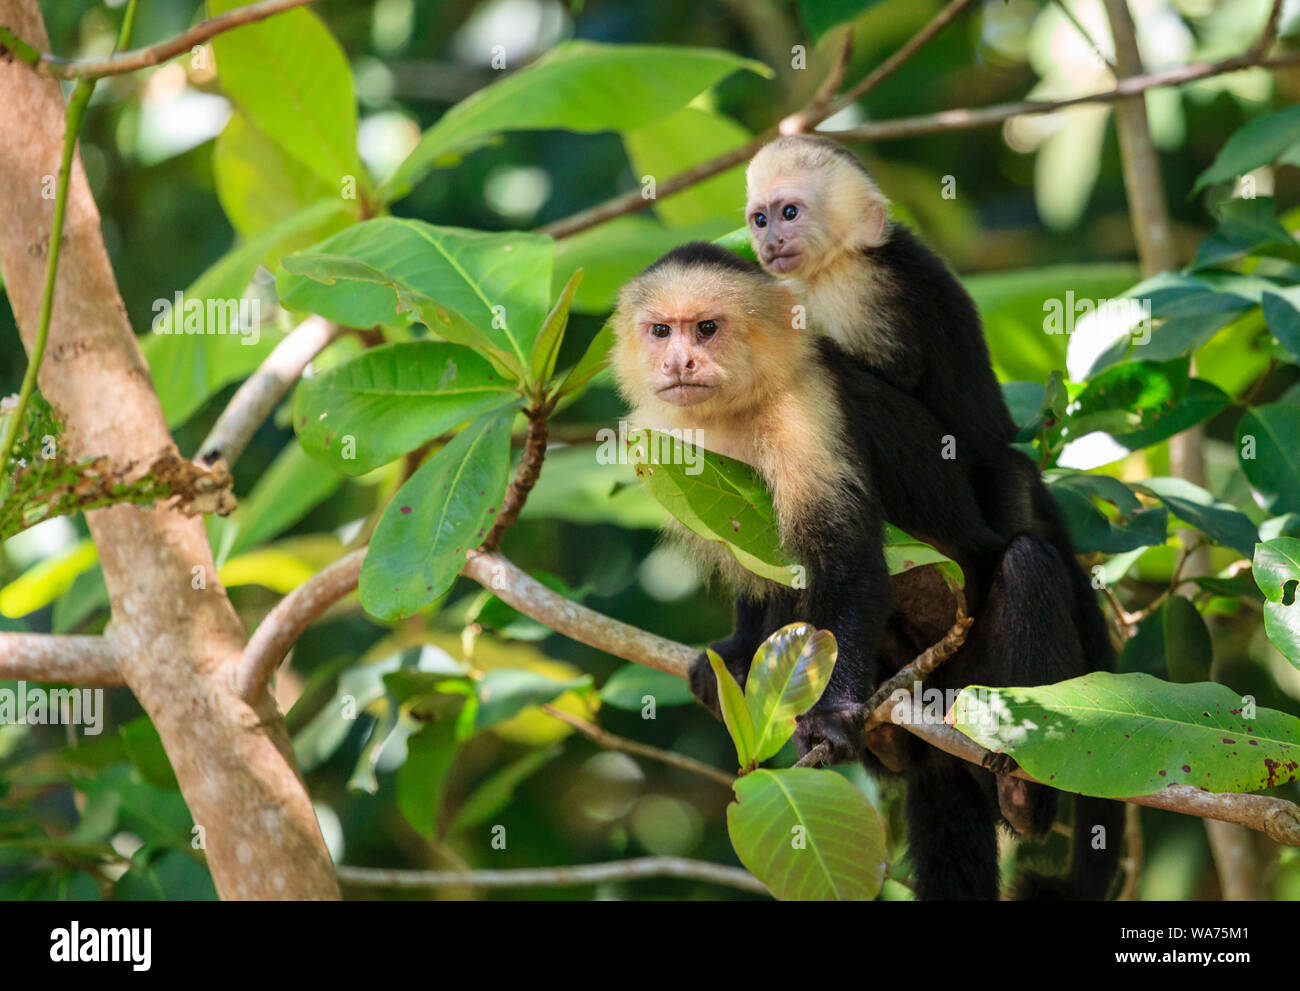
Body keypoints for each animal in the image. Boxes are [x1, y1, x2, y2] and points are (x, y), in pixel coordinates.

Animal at [613, 243, 1123, 899]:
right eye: (660, 331)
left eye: (706, 328)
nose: (678, 359)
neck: (736, 410)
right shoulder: (680, 451)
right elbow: (765, 573)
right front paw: (736, 653)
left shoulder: (808, 410)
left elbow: (847, 563)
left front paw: (830, 715)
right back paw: (890, 744)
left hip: (974, 677)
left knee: (1028, 563)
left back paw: (1024, 795)